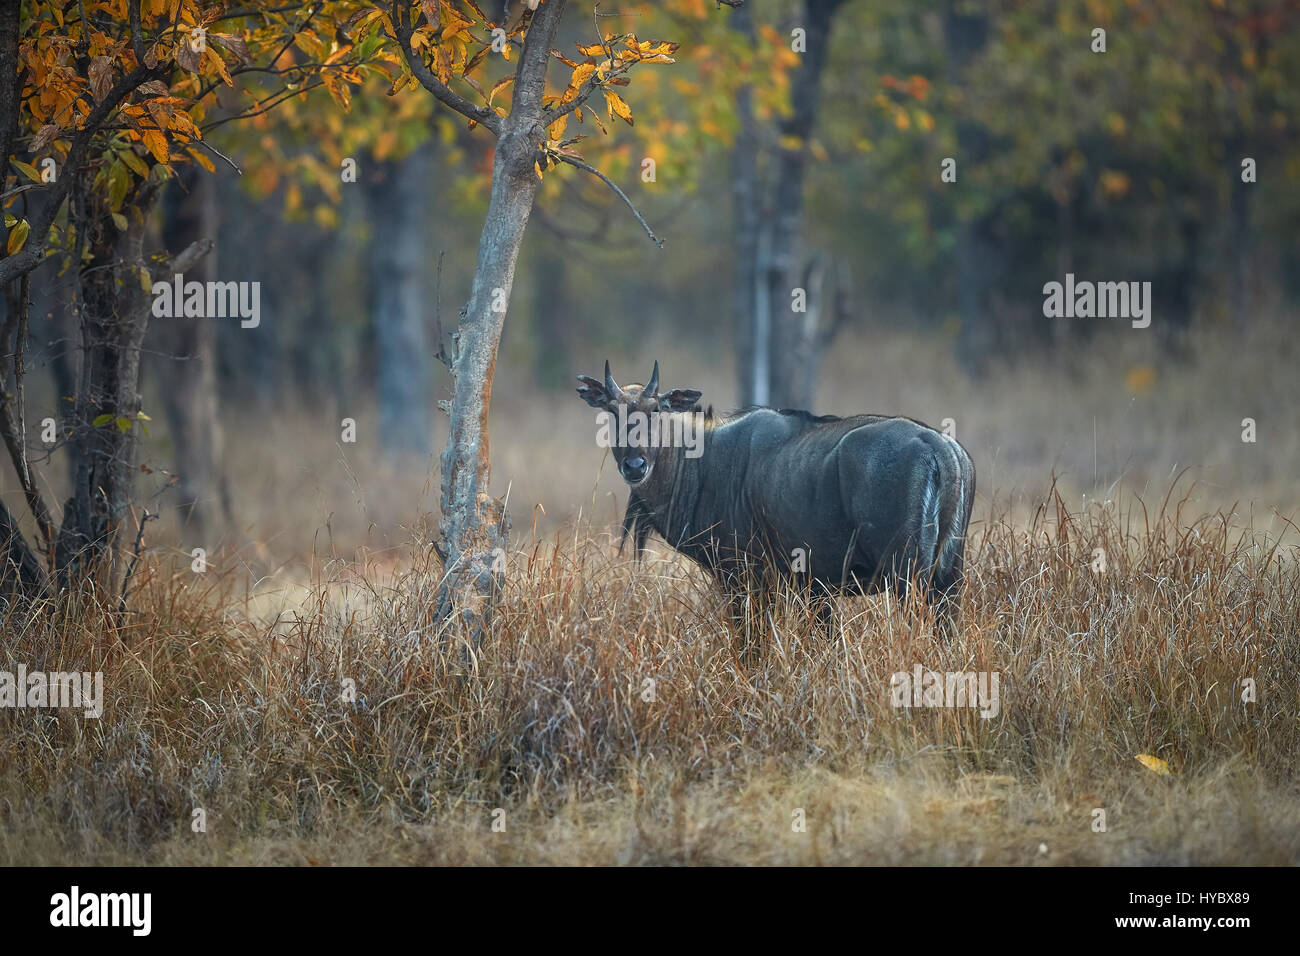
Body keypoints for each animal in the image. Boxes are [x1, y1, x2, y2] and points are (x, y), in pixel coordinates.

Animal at [576, 361, 976, 650]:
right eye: (612, 411)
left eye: (656, 410)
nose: (635, 466)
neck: (703, 462)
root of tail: (942, 450)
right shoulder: (814, 588)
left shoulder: (744, 579)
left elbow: (751, 647)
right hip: (947, 579)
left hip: (909, 578)